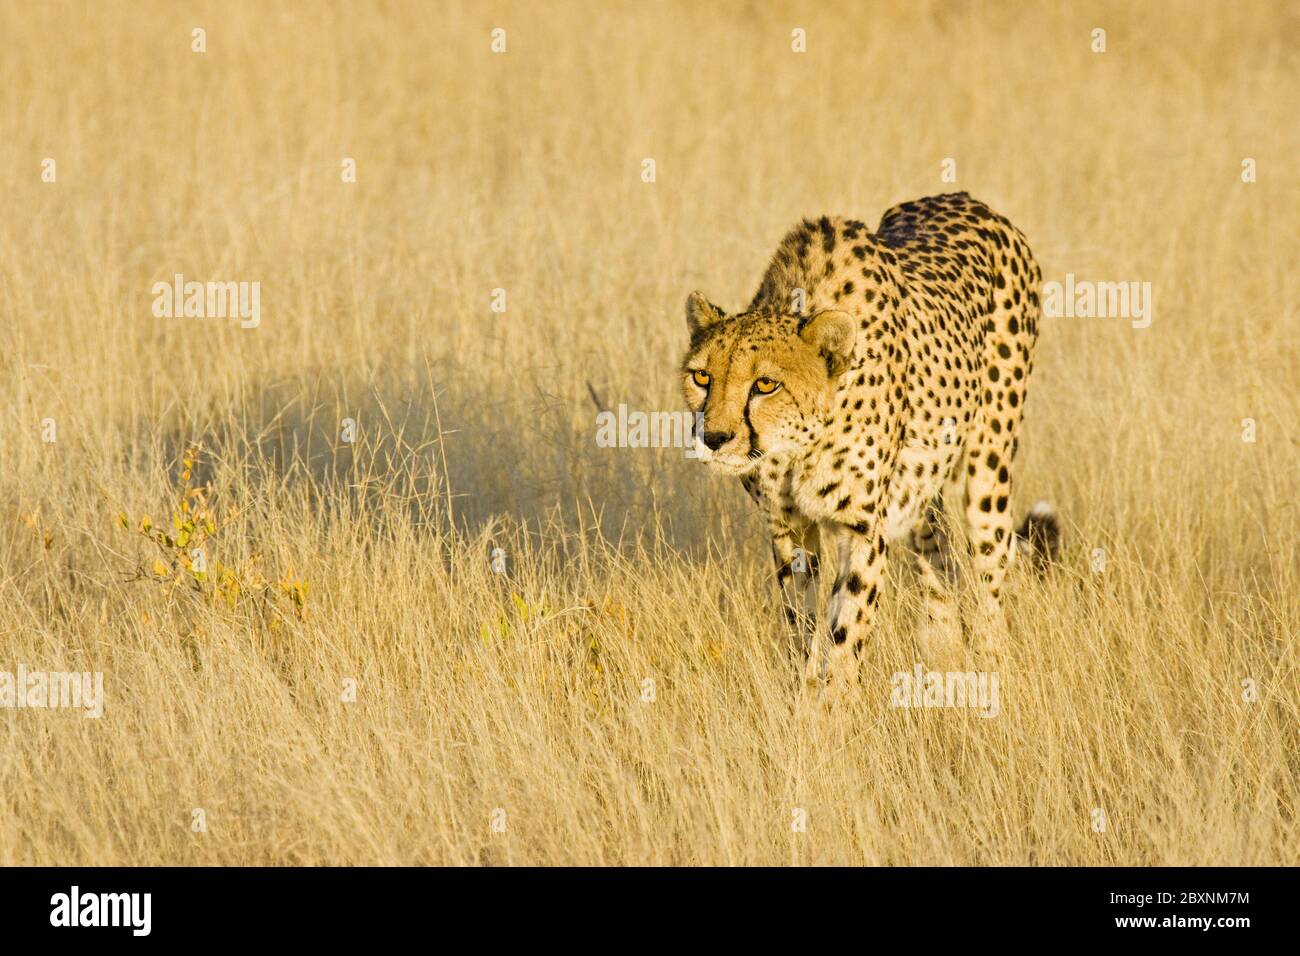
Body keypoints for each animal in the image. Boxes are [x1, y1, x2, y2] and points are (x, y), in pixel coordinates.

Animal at [679, 192, 1059, 690]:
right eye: (702, 377)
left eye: (765, 385)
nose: (714, 437)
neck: (798, 448)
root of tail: (966, 199)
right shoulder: (787, 527)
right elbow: (802, 625)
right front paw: (800, 689)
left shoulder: (862, 530)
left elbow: (844, 637)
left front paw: (825, 706)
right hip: (922, 486)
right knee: (938, 559)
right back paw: (942, 651)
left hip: (988, 466)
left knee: (991, 575)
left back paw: (990, 664)